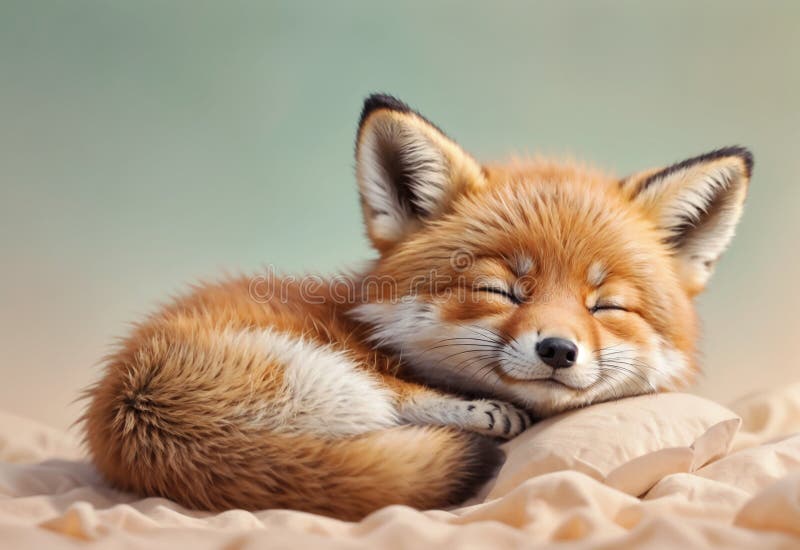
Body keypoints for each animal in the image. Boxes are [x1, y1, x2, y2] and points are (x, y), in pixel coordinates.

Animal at [83, 94, 753, 520]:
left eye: (606, 305)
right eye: (501, 291)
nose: (558, 350)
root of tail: (132, 403)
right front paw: (486, 411)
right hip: (330, 378)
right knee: (393, 409)